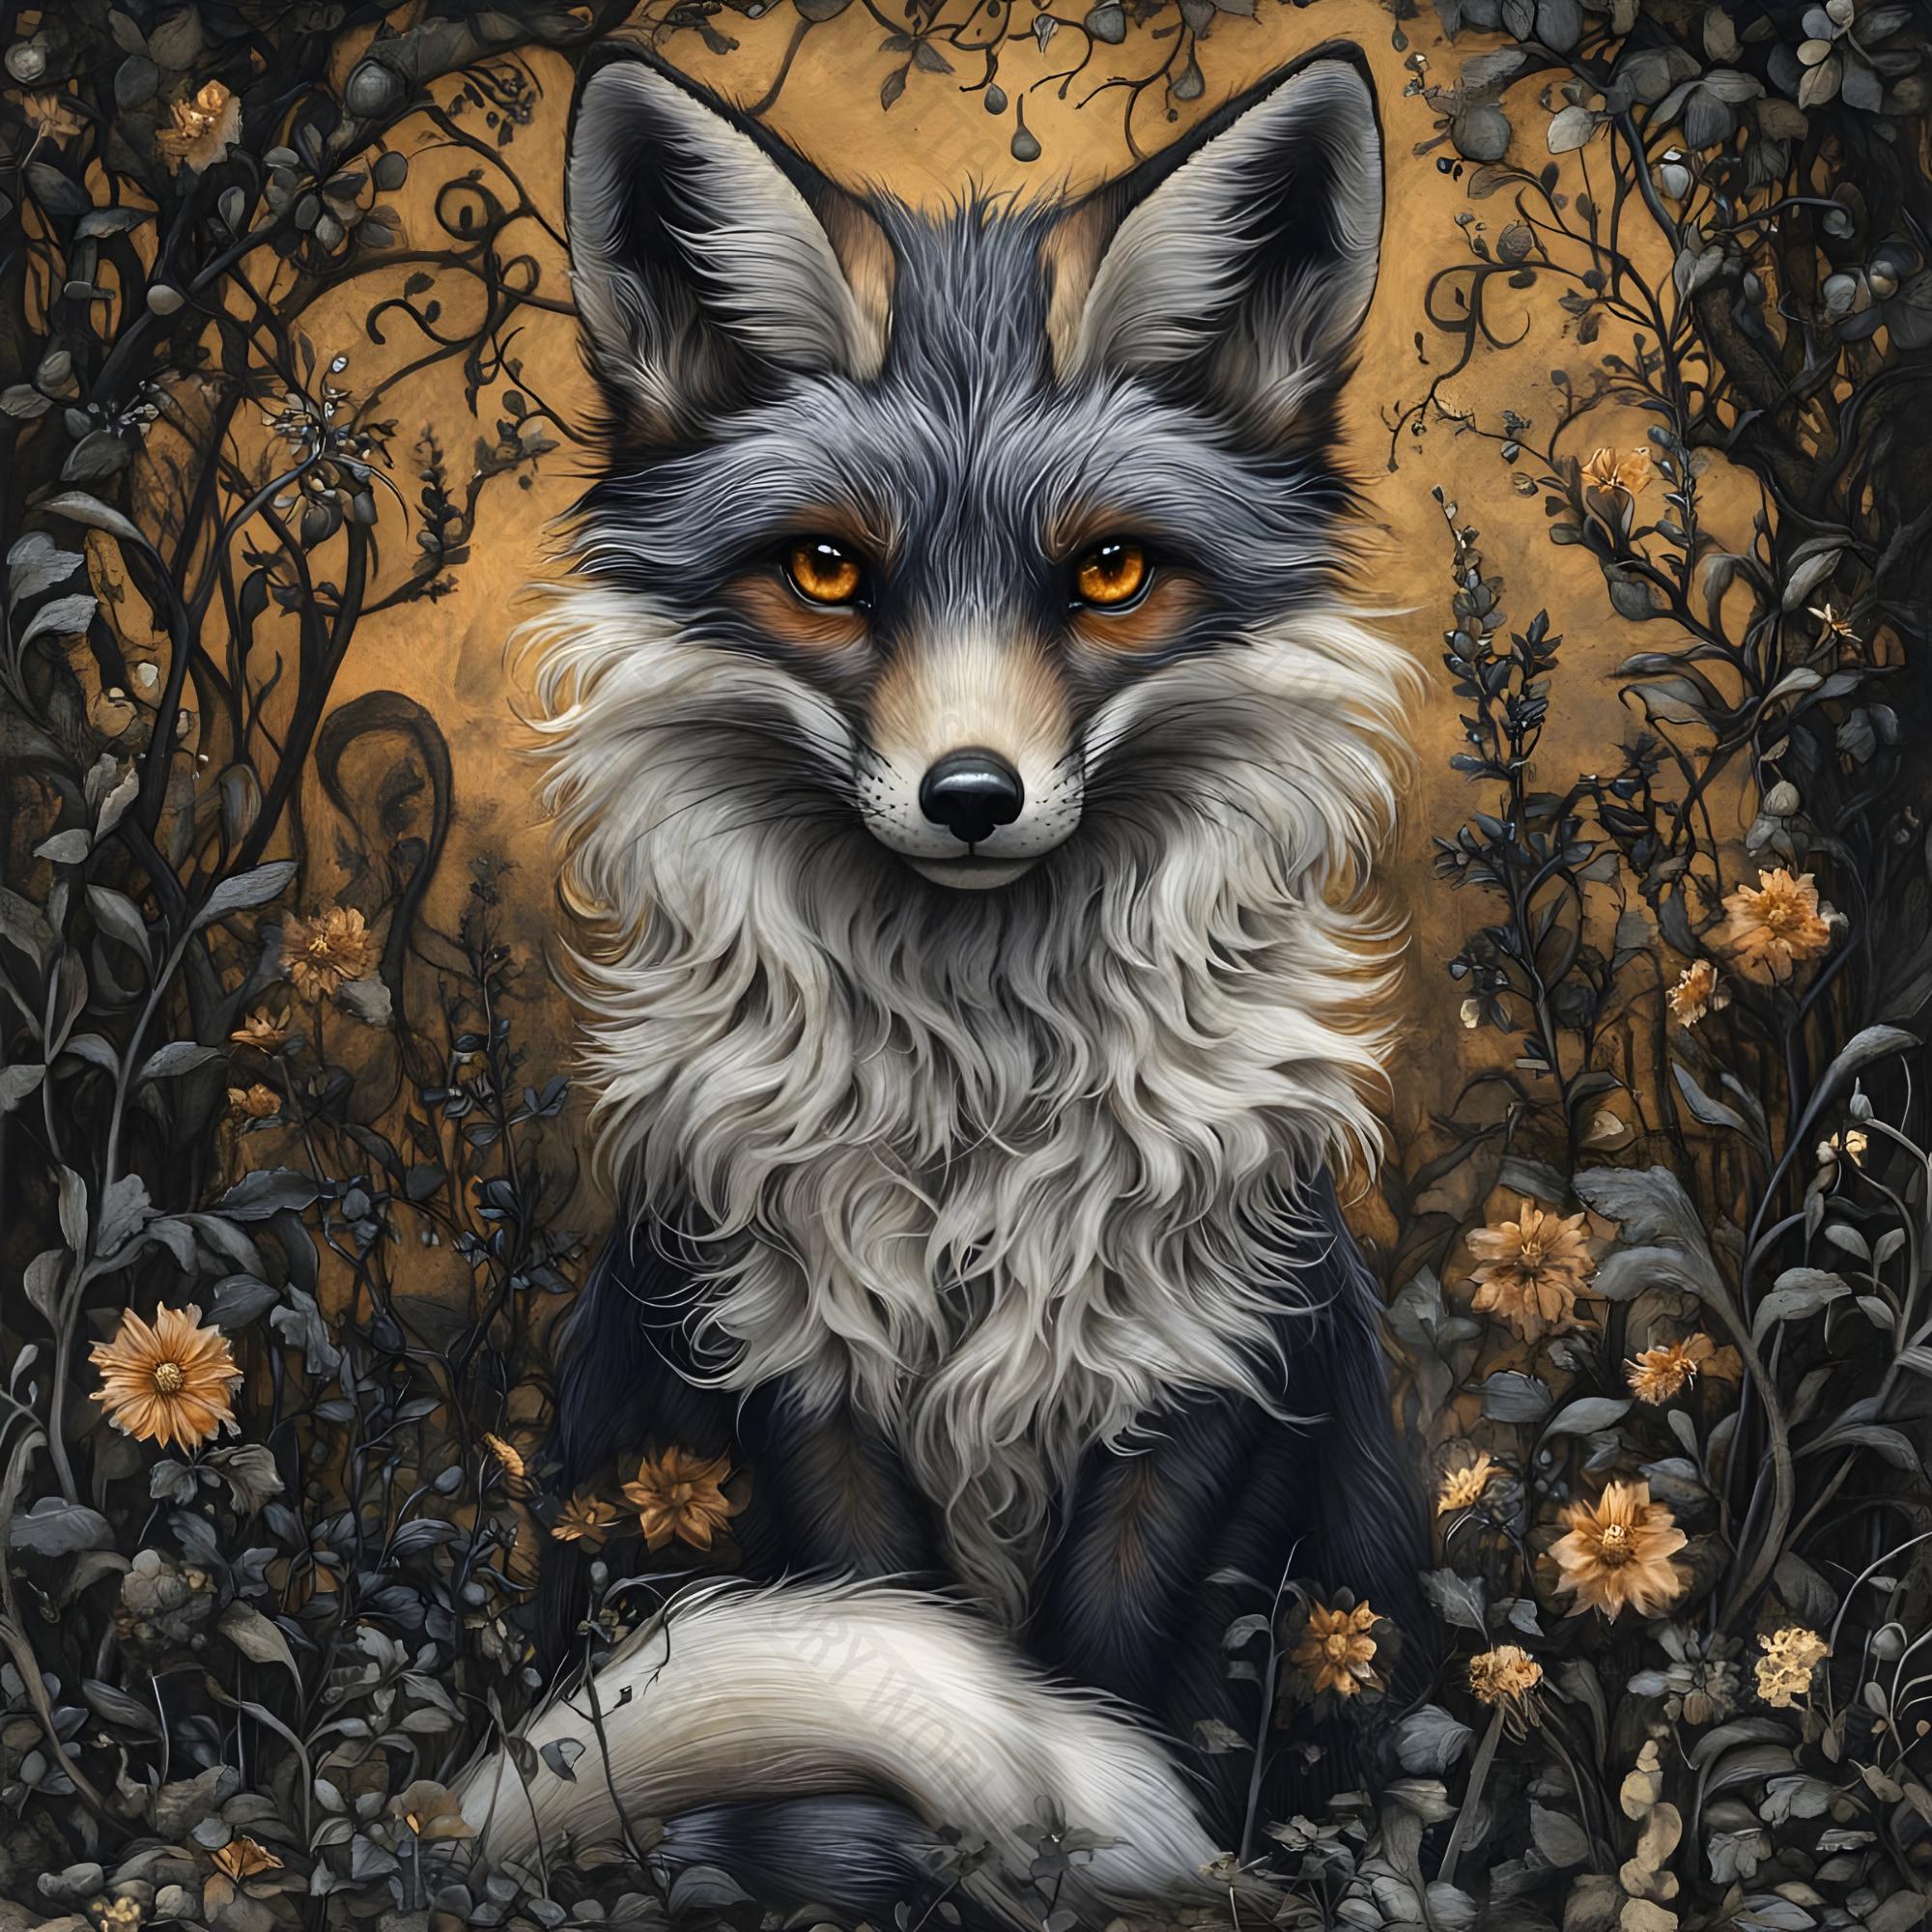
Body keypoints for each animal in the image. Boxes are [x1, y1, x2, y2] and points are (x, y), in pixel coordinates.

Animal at [458, 35, 1430, 1927]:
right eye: (830, 569)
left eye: (1109, 570)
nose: (970, 796)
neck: (982, 1119)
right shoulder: (795, 1377)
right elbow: (886, 1631)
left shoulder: (1201, 1369)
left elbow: (1106, 1677)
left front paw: (1119, 1861)